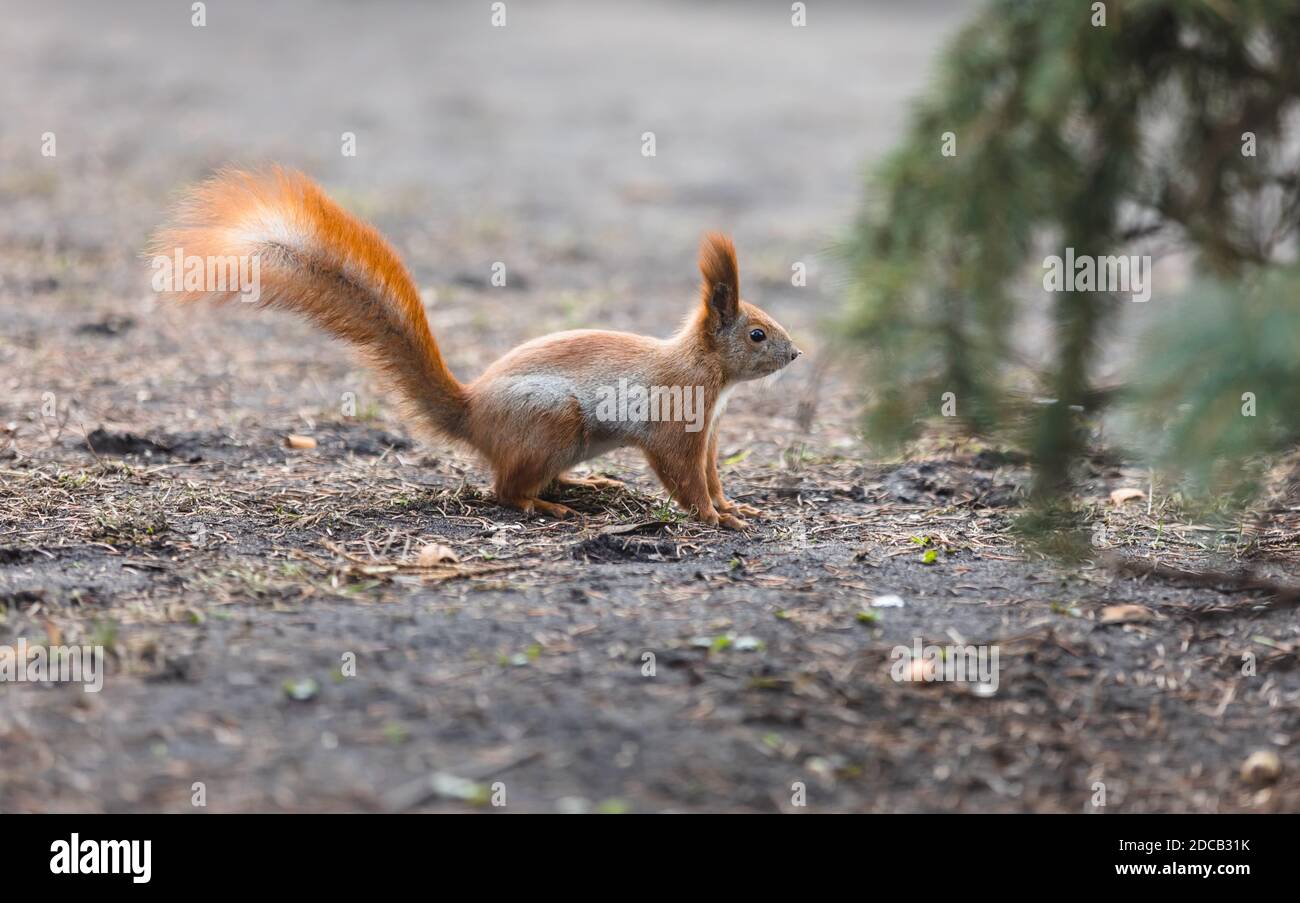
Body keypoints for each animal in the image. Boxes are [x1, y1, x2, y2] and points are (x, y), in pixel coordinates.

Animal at [149, 167, 801, 529]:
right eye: (757, 333)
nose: (795, 356)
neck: (707, 371)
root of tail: (472, 413)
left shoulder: (708, 433)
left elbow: (711, 474)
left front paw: (734, 508)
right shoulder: (674, 426)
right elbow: (684, 479)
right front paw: (715, 519)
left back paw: (589, 487)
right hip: (551, 422)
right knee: (506, 490)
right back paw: (551, 507)